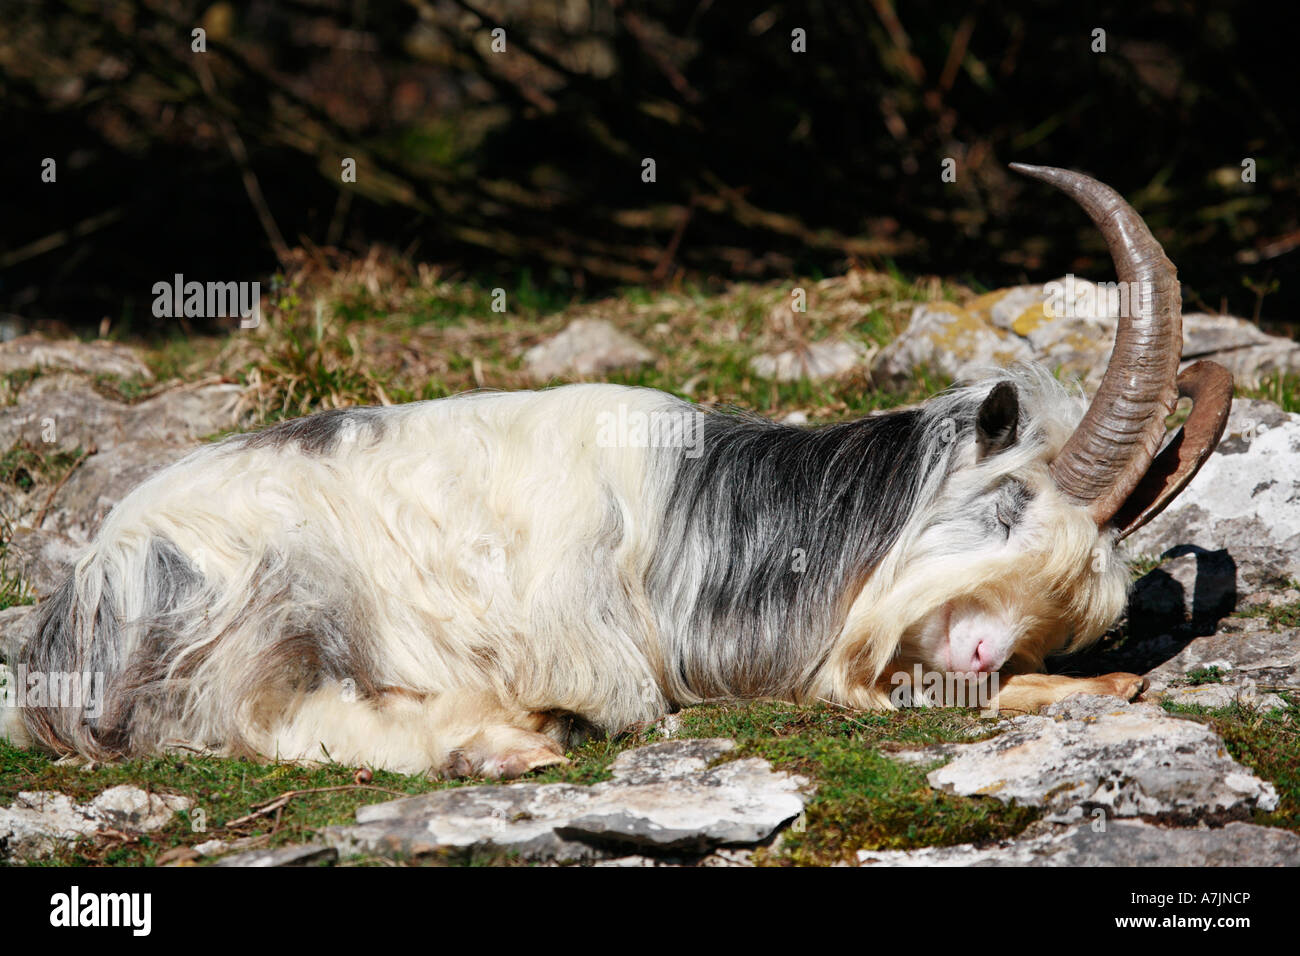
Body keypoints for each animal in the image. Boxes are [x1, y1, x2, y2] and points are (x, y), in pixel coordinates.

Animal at [4, 165, 1233, 777]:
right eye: (1004, 503)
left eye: (1070, 616)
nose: (985, 647)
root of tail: (69, 619)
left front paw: (1104, 690)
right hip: (262, 594)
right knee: (255, 717)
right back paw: (501, 741)